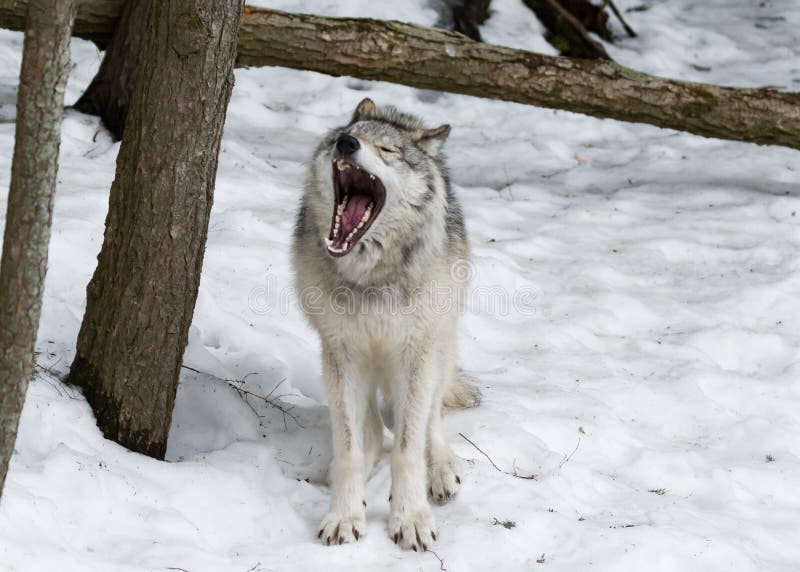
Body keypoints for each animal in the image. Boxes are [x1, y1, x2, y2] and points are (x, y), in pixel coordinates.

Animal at [291, 98, 479, 551]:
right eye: (348, 136)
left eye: (388, 151)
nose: (346, 142)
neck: (371, 277)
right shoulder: (341, 351)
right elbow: (349, 447)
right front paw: (344, 515)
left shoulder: (415, 353)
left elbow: (409, 448)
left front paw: (410, 518)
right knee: (373, 433)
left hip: (437, 349)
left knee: (430, 422)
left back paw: (442, 470)